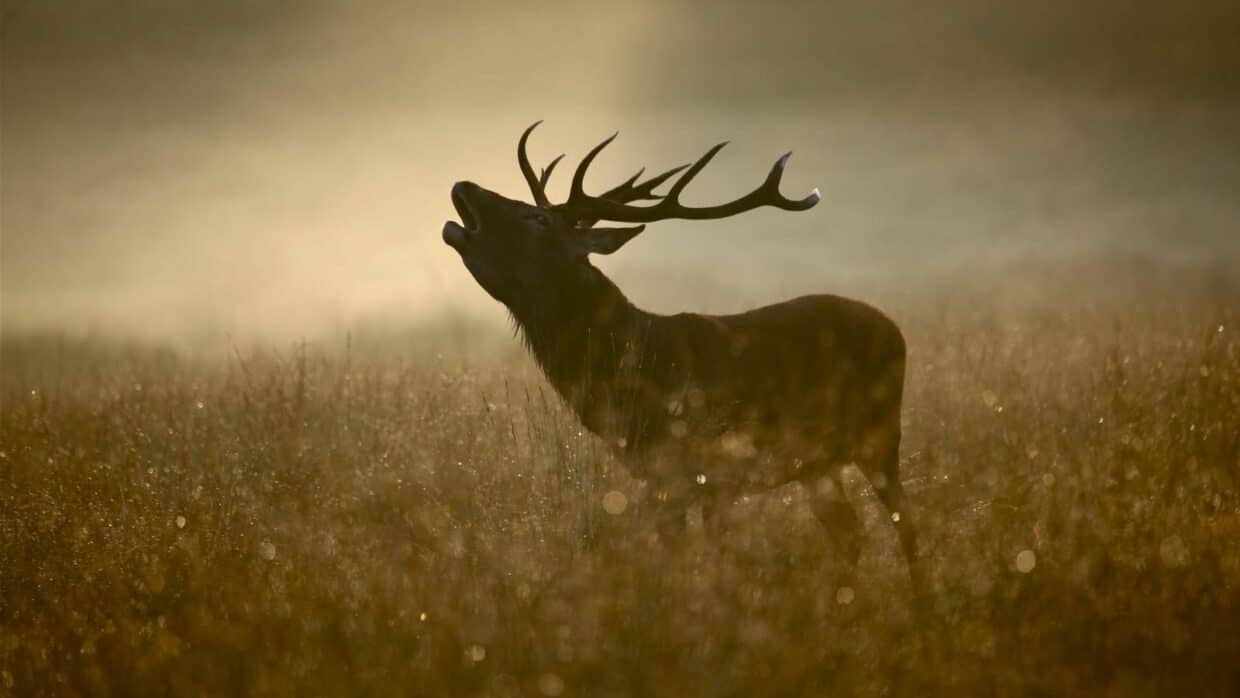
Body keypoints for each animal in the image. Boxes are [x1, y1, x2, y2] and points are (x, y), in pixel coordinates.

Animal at [442, 122, 923, 590]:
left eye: (537, 217)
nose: (464, 185)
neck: (633, 371)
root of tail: (896, 330)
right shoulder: (661, 477)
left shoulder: (705, 470)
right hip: (817, 463)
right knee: (850, 532)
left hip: (881, 431)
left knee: (906, 522)